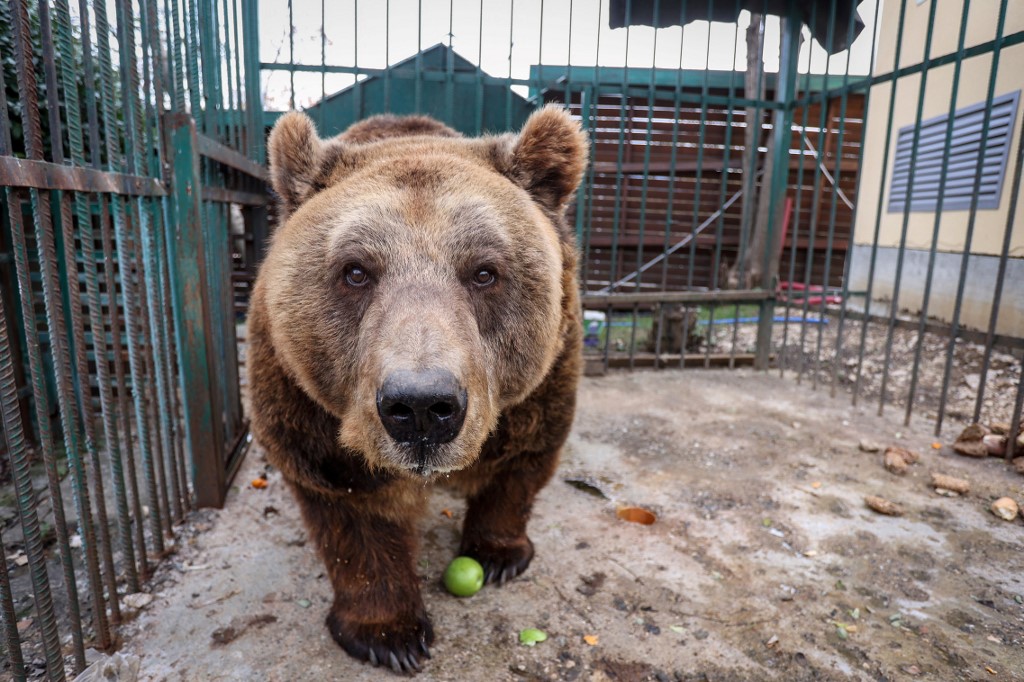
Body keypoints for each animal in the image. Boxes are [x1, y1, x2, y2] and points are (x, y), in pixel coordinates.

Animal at [247, 105, 588, 674]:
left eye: (485, 271)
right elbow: (350, 507)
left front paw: (499, 554)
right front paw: (389, 633)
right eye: (355, 270)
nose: (423, 406)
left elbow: (524, 458)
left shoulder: (543, 380)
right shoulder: (307, 408)